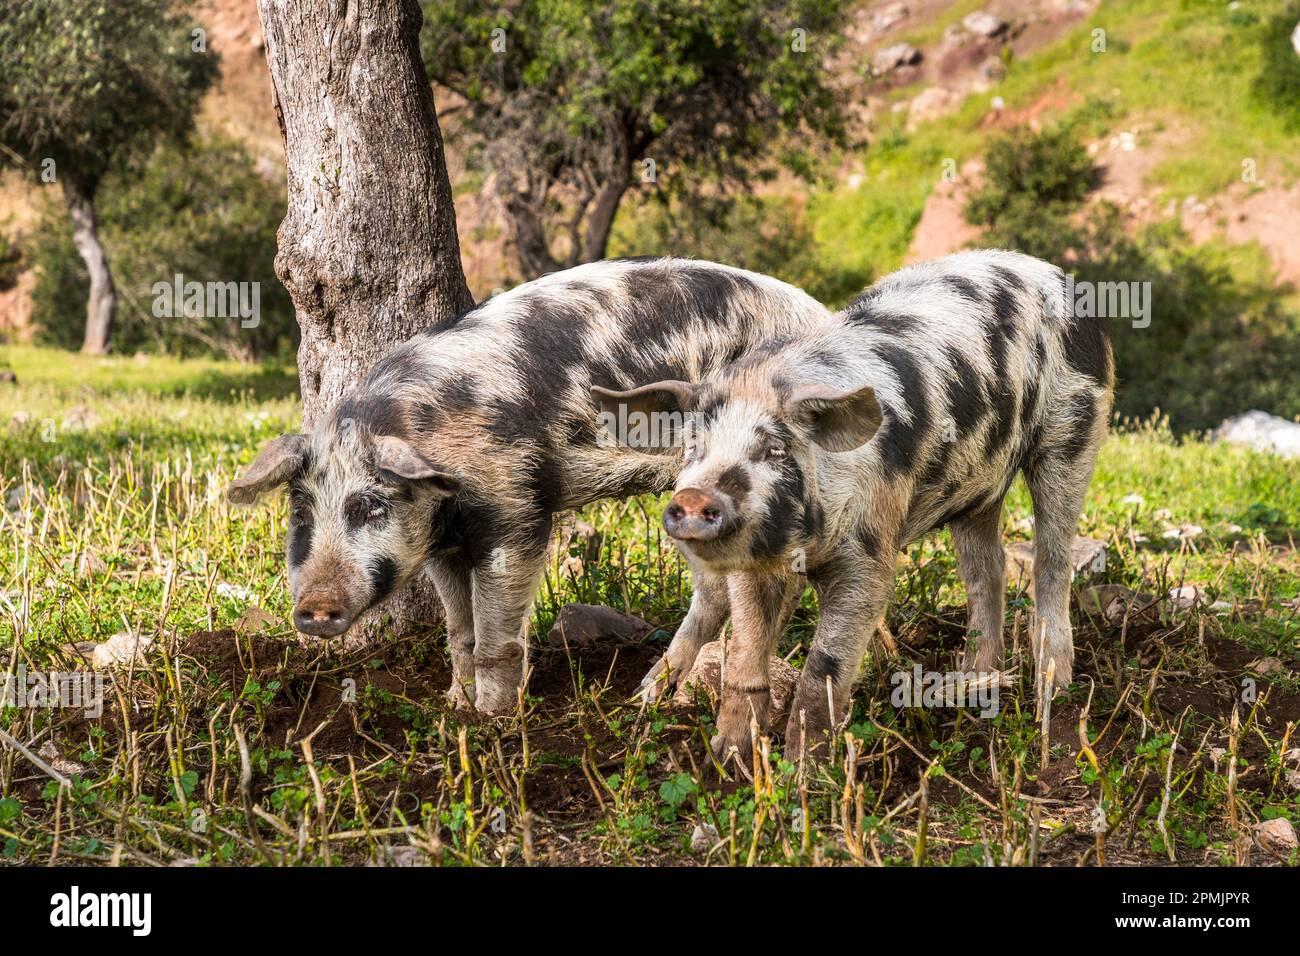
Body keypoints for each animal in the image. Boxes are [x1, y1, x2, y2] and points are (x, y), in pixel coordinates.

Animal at [226, 258, 833, 715]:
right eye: (300, 513)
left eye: (370, 507)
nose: (314, 607)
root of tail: (824, 318)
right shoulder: (442, 543)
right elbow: (460, 631)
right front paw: (454, 707)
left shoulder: (515, 503)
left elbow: (496, 635)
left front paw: (492, 719)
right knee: (712, 593)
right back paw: (644, 699)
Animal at [593, 250, 1113, 756]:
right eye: (692, 446)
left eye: (774, 449)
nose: (694, 496)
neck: (806, 544)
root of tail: (1049, 271)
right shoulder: (753, 564)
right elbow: (746, 654)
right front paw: (729, 755)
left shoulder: (871, 550)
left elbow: (823, 668)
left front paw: (802, 770)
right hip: (976, 485)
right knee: (987, 570)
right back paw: (972, 684)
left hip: (1074, 429)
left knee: (1052, 559)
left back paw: (1051, 692)